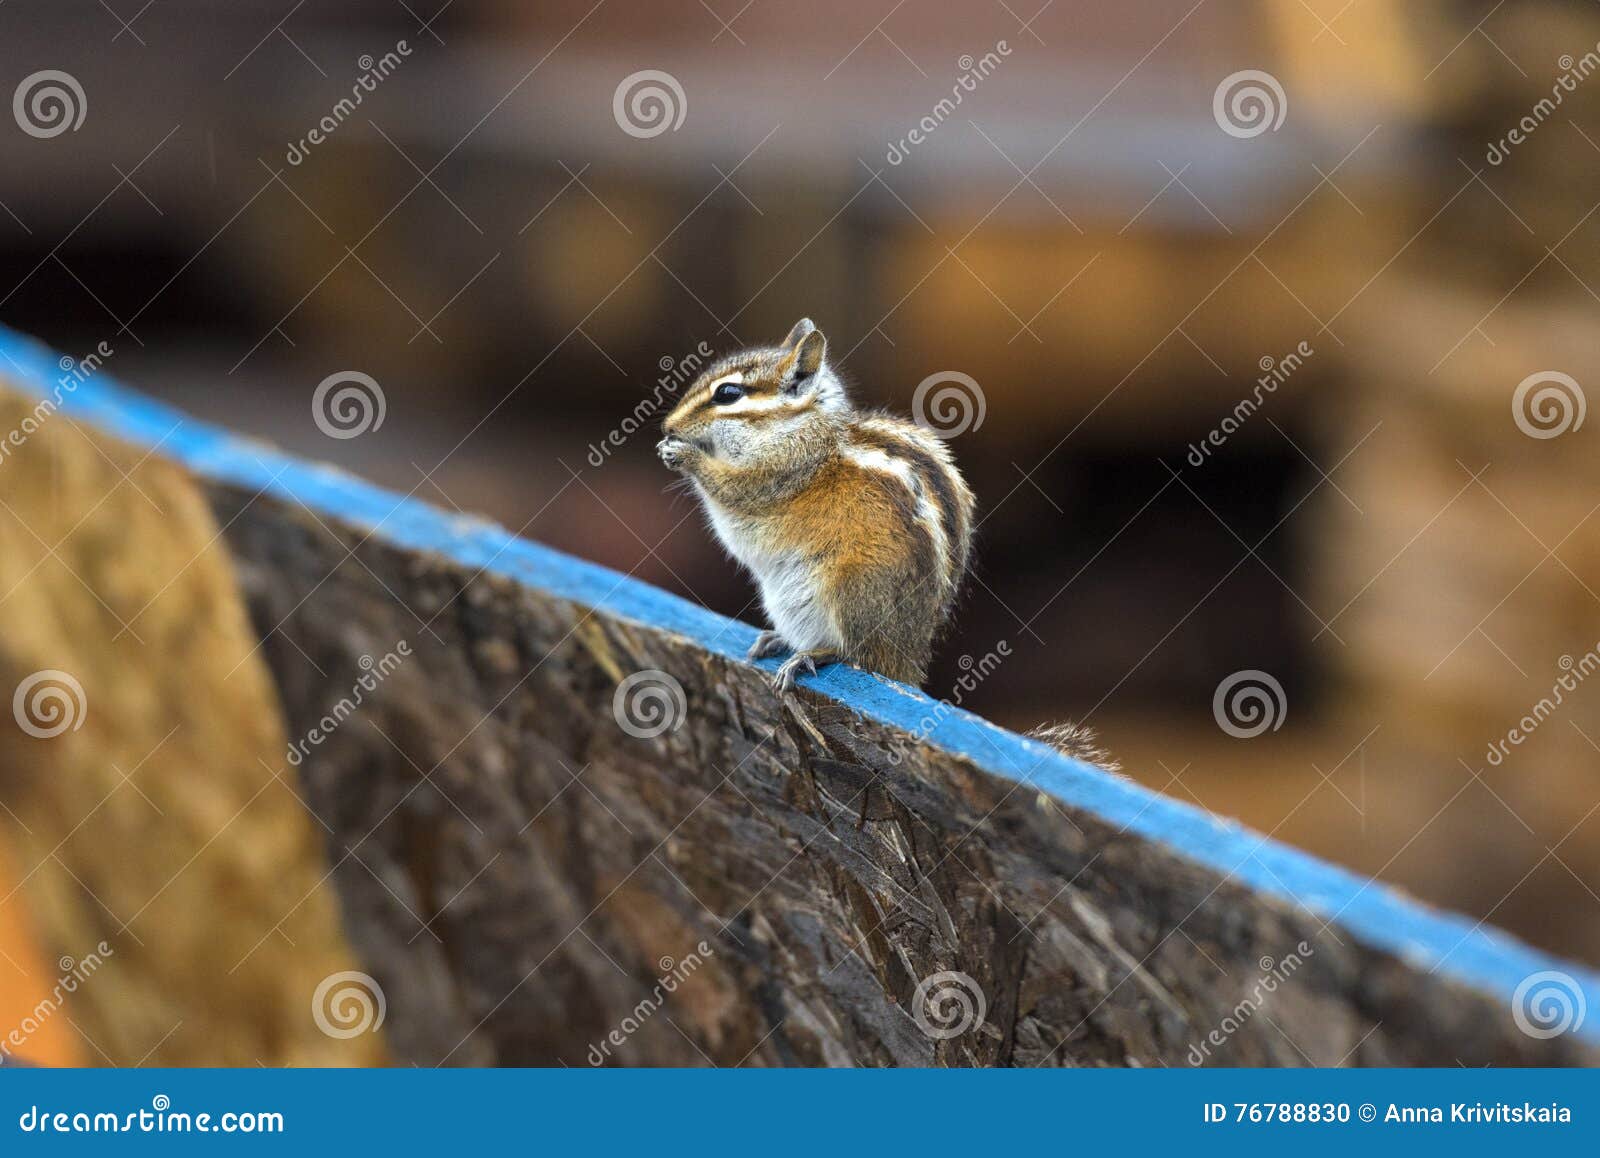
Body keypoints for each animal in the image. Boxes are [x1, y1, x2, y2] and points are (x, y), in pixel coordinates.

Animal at [657, 318, 974, 694]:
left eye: (728, 393)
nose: (668, 425)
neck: (798, 427)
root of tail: (907, 663)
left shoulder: (780, 471)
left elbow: (729, 487)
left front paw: (683, 454)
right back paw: (778, 640)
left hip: (854, 591)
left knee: (857, 656)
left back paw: (811, 656)